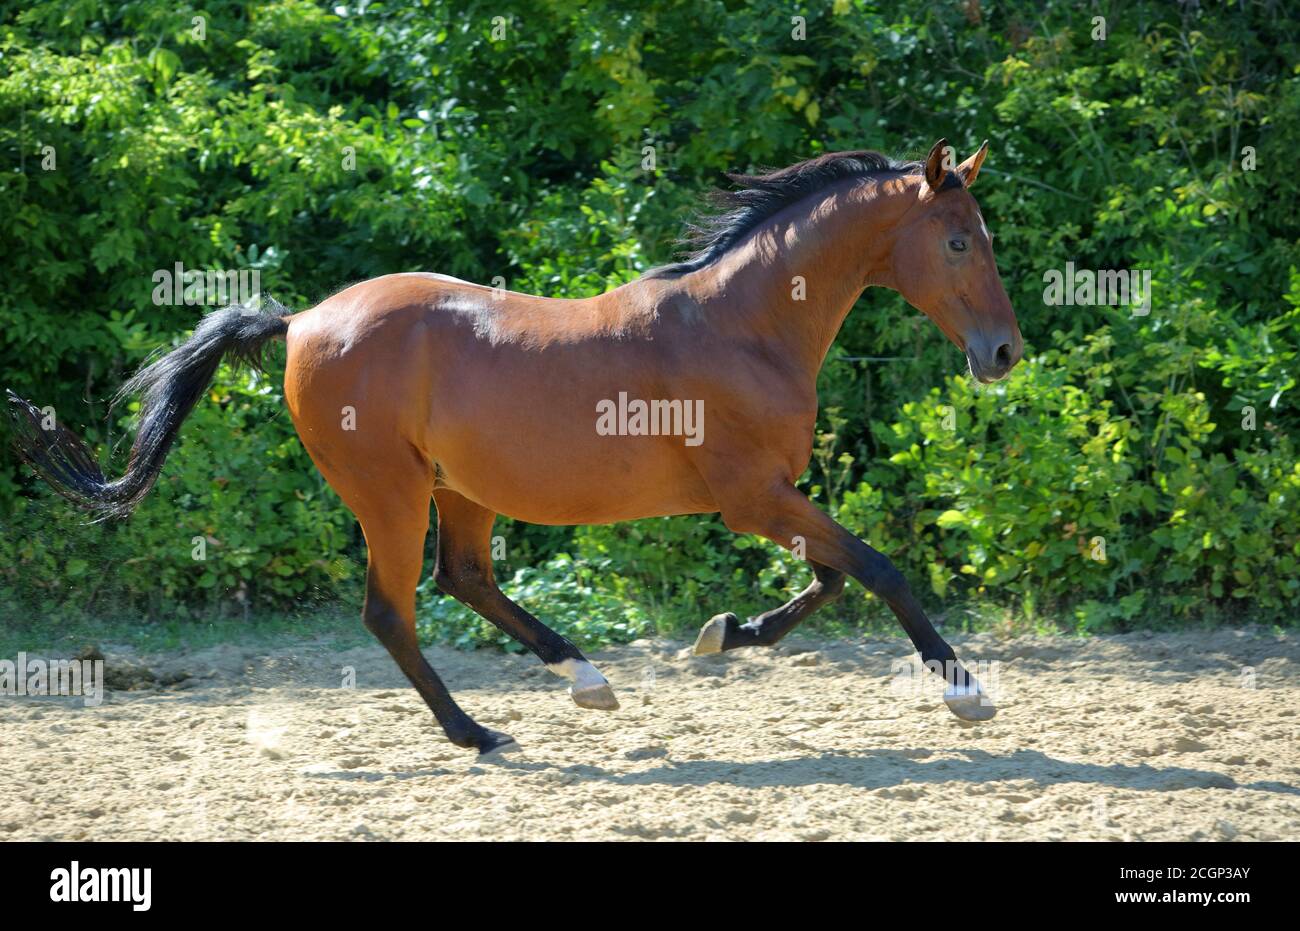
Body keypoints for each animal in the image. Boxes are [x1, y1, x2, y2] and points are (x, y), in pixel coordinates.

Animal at [8, 139, 1022, 756]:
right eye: (959, 242)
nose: (1004, 353)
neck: (742, 325)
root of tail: (300, 322)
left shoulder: (769, 496)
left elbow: (833, 578)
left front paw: (726, 632)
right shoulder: (753, 495)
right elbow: (877, 569)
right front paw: (966, 692)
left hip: (460, 489)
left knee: (464, 578)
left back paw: (586, 680)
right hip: (389, 491)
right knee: (394, 611)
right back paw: (480, 733)